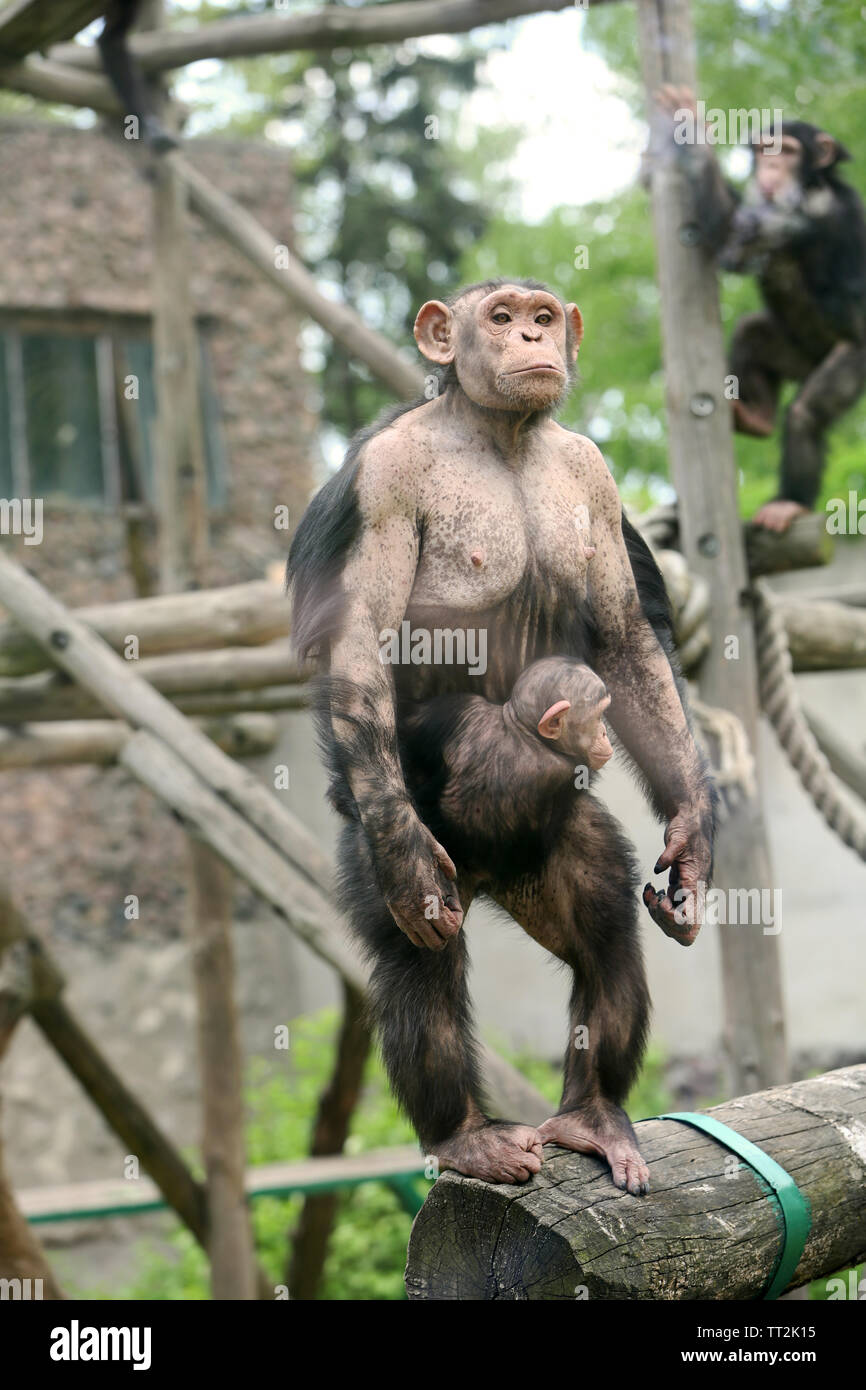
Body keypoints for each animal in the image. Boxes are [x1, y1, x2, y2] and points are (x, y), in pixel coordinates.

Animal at [288, 278, 715, 1194]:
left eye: (544, 316)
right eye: (500, 315)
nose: (528, 336)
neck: (501, 434)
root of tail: (489, 882)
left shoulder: (595, 476)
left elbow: (627, 630)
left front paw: (695, 839)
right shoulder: (381, 478)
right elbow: (362, 639)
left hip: (554, 863)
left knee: (603, 936)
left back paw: (595, 1115)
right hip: (409, 863)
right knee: (419, 968)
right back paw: (465, 1136)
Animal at [658, 86, 866, 532]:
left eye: (786, 151)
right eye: (764, 149)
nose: (769, 166)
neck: (813, 182)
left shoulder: (810, 210)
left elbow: (745, 235)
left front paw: (691, 128)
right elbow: (730, 233)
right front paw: (689, 125)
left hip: (855, 357)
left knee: (806, 412)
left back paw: (788, 503)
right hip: (796, 353)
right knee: (752, 332)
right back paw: (758, 416)